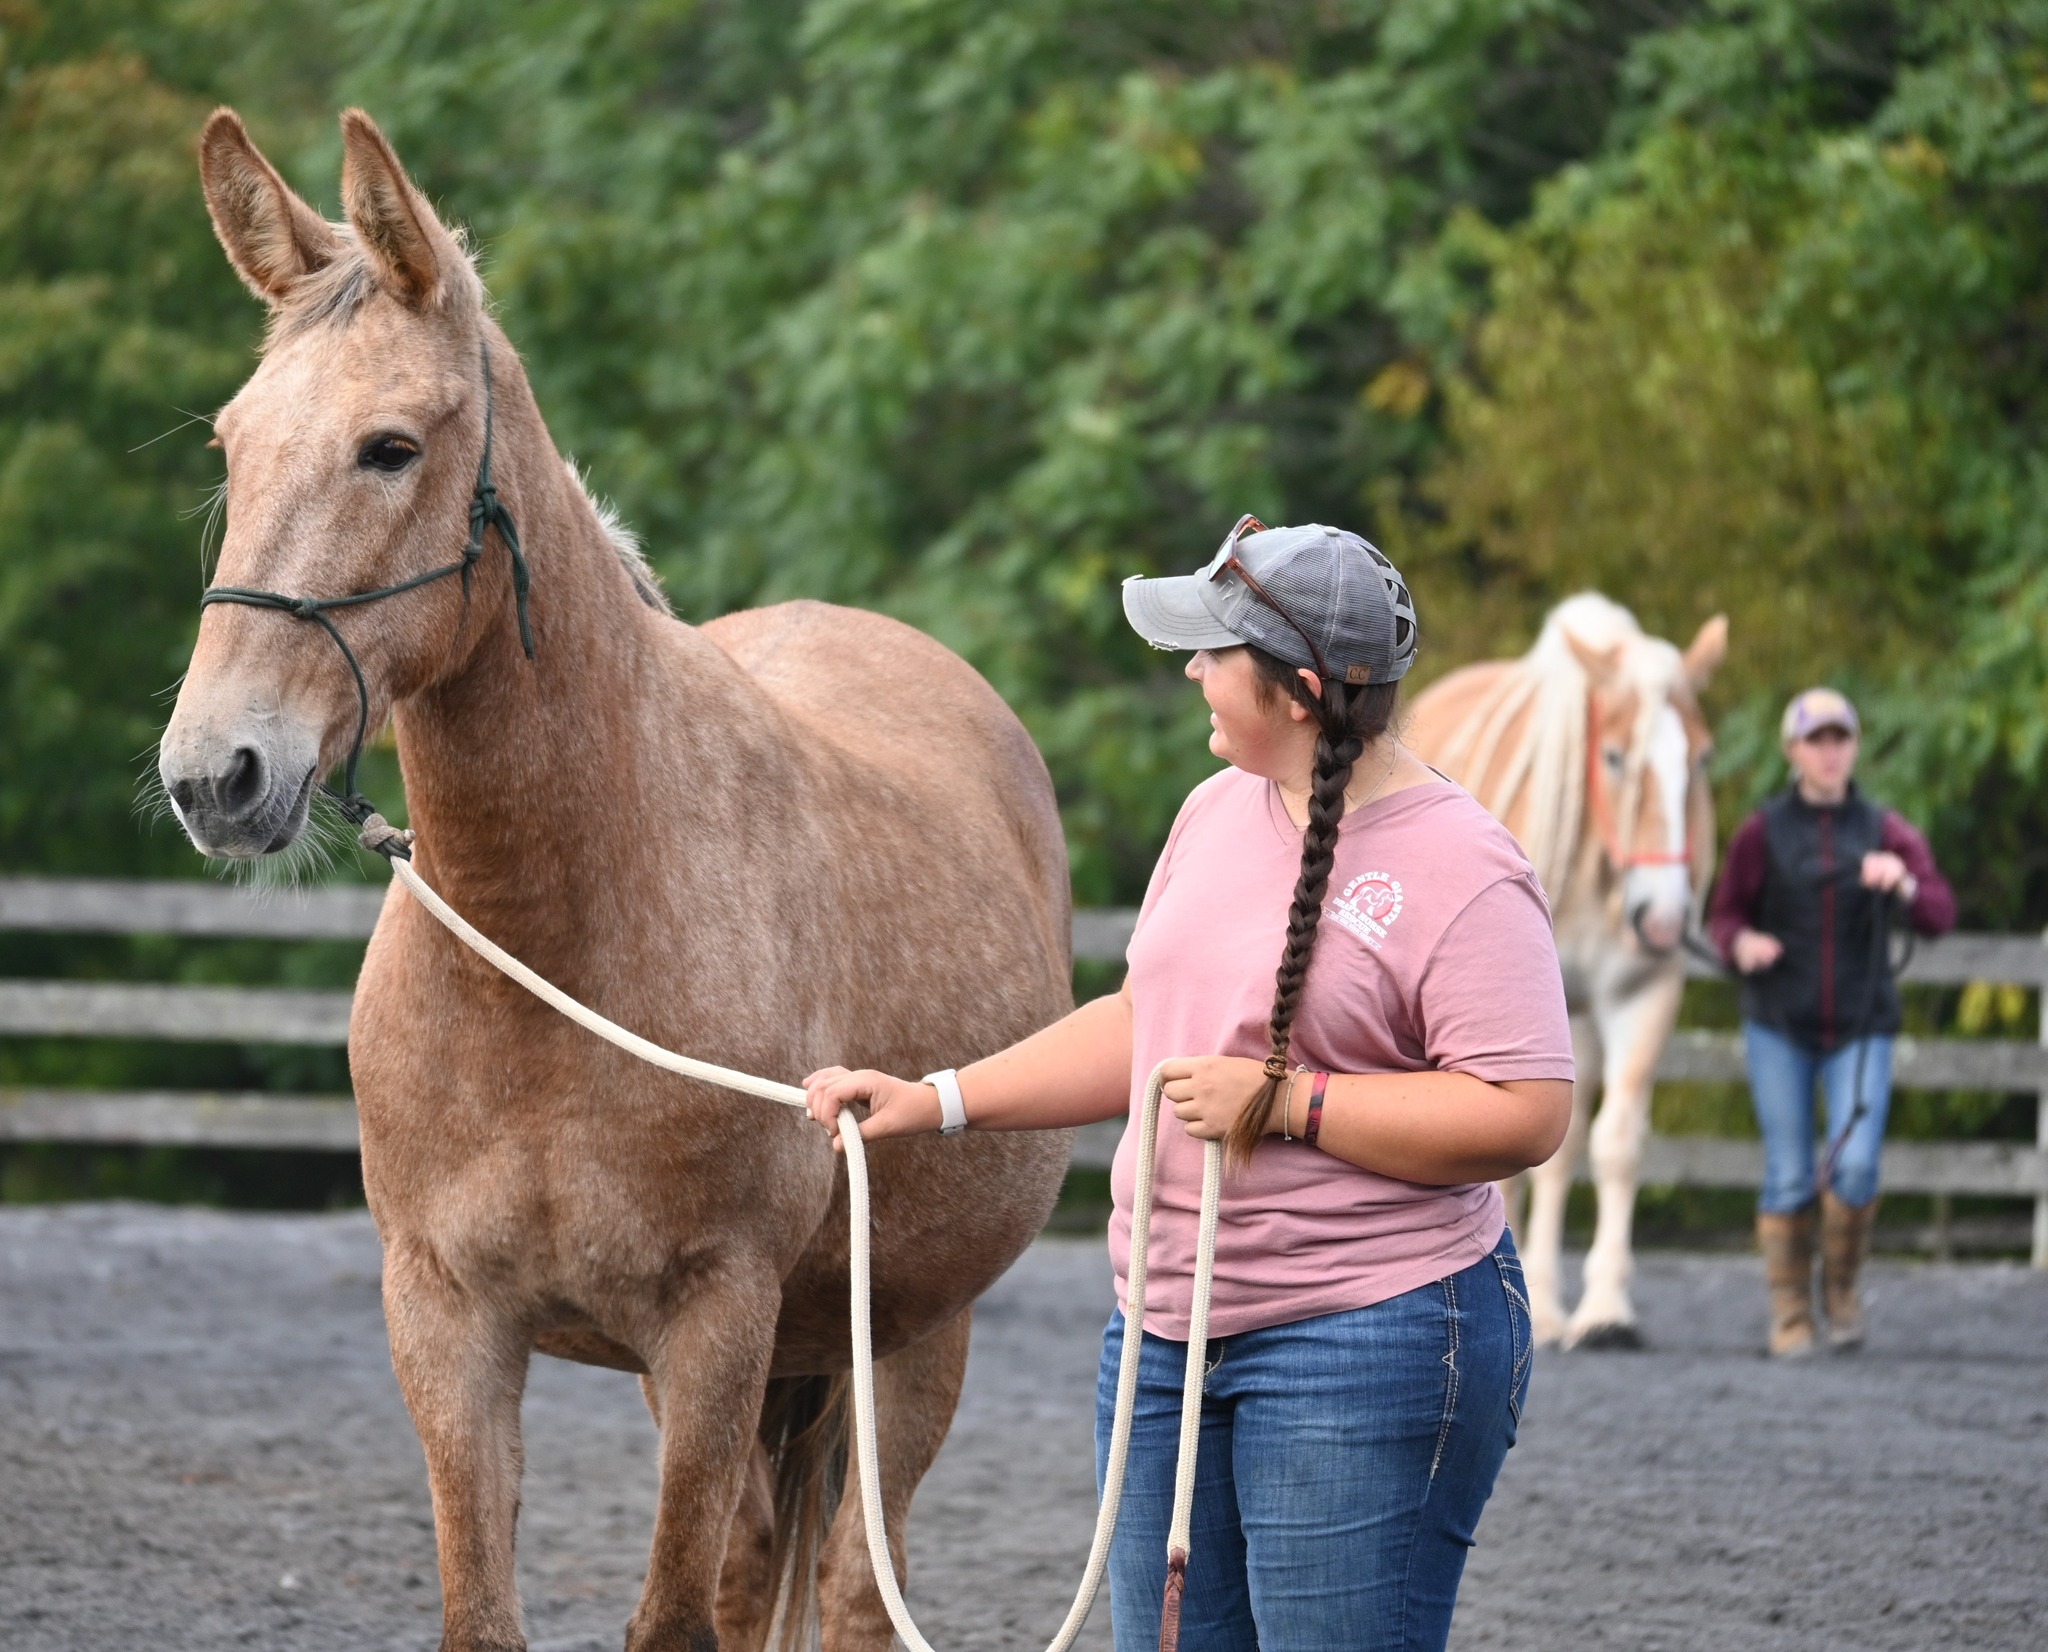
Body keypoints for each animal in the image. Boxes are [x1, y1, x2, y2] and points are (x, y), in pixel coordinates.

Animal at [157, 108, 1074, 1652]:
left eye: (390, 447)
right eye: (232, 439)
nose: (215, 773)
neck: (556, 950)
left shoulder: (715, 1321)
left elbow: (679, 1617)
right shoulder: (449, 1321)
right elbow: (493, 1609)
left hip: (909, 1337)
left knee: (850, 1585)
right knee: (769, 1553)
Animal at [1406, 594, 1725, 1348]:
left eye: (1702, 757)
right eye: (1612, 756)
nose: (1663, 919)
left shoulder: (1642, 992)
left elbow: (1614, 1144)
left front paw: (1606, 1309)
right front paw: (1546, 1310)